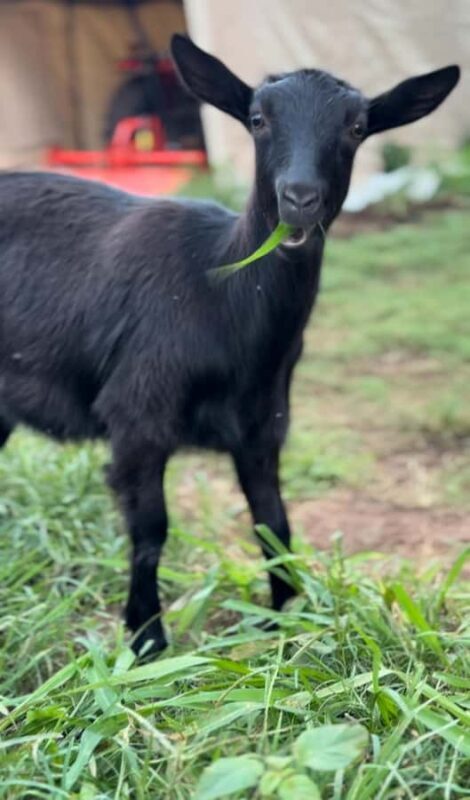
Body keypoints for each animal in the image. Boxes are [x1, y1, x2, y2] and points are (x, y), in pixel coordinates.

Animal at [0, 35, 459, 655]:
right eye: (258, 120)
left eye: (358, 126)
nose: (299, 199)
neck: (222, 292)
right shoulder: (137, 415)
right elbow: (151, 530)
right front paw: (146, 639)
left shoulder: (263, 425)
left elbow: (275, 524)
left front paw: (288, 619)